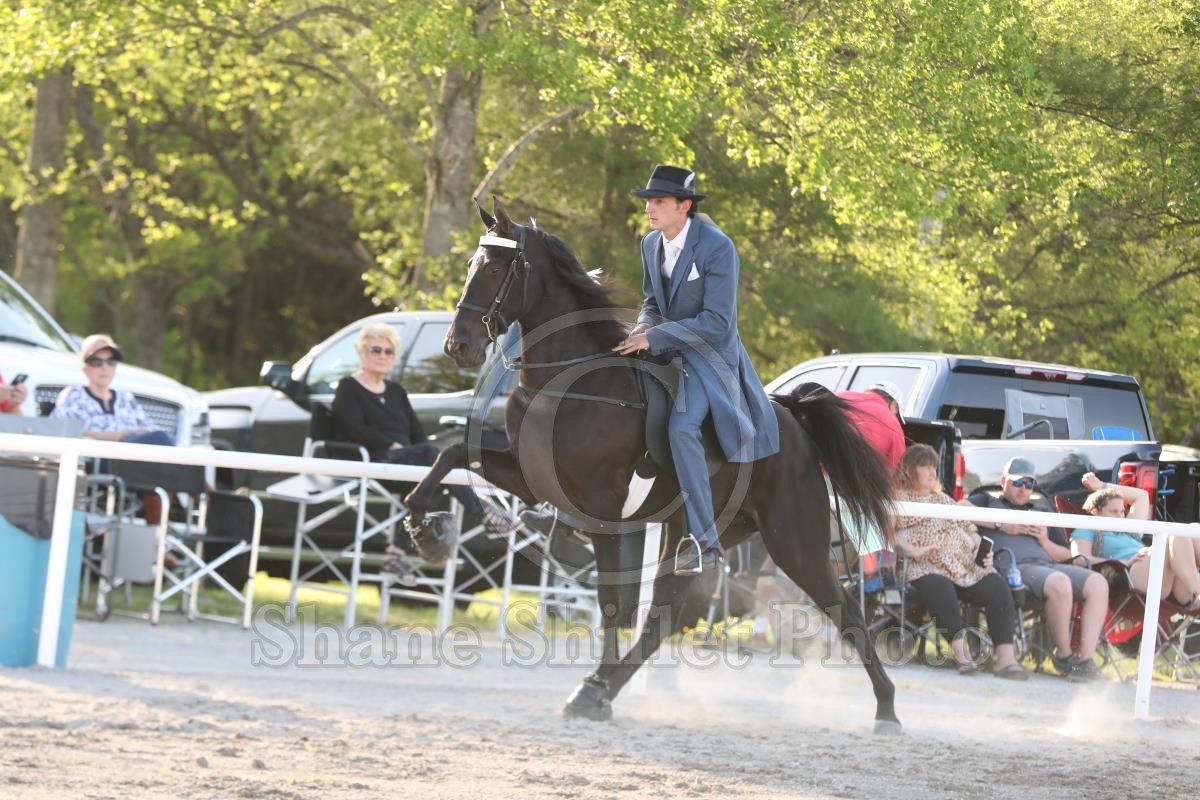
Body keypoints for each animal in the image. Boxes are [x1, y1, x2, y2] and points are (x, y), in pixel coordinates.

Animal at [403, 197, 902, 733]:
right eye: (471, 264)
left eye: (497, 268)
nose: (457, 345)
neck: (569, 383)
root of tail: (792, 418)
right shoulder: (528, 477)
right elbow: (452, 452)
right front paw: (425, 529)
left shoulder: (605, 513)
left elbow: (611, 604)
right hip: (693, 532)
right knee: (667, 615)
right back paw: (600, 690)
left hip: (794, 541)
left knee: (844, 609)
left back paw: (887, 709)